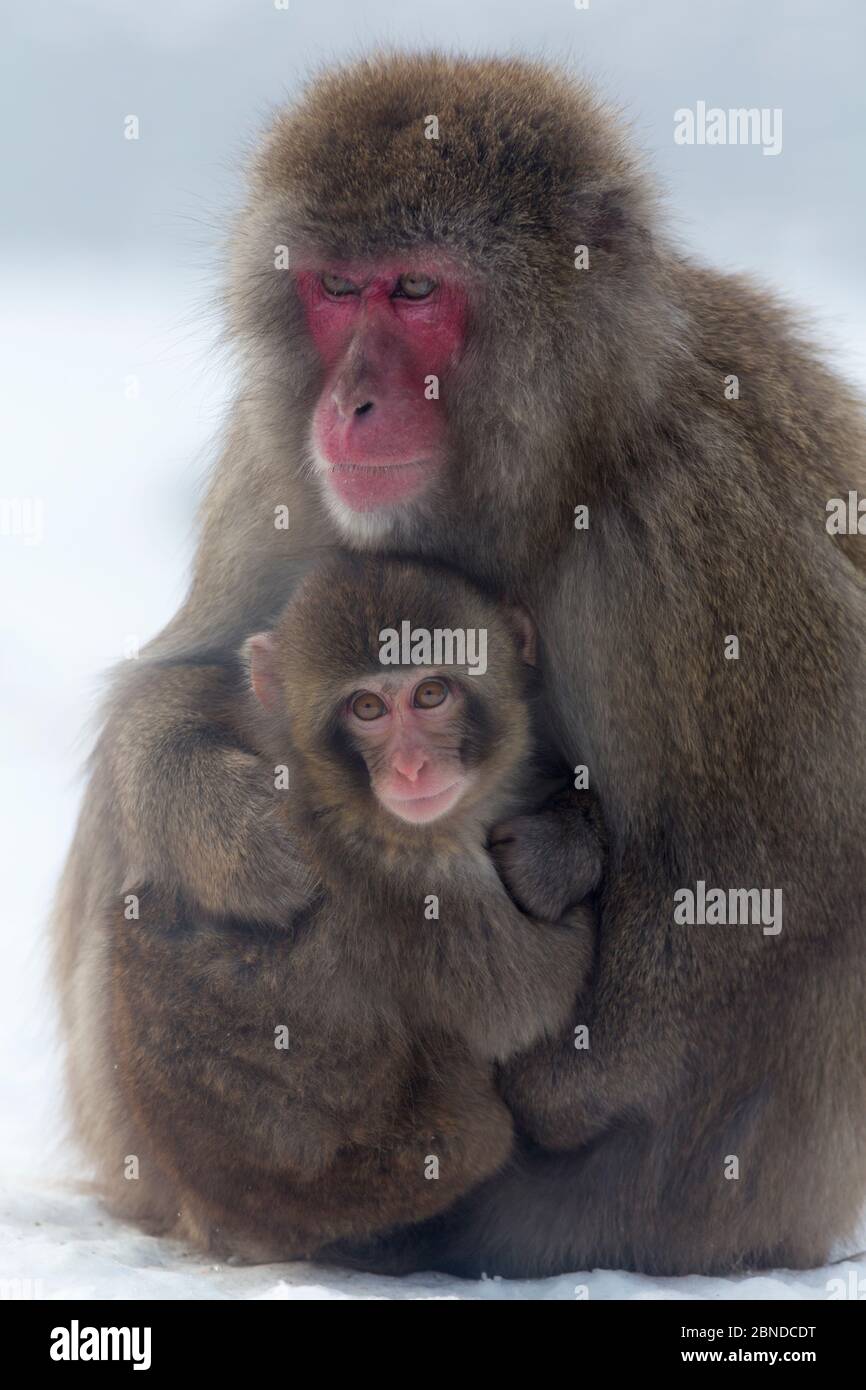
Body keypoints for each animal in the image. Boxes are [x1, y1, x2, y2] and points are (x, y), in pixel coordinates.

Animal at [98, 553, 599, 1260]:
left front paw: (562, 840)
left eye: (431, 693)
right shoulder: (424, 885)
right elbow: (529, 1001)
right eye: (367, 707)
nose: (413, 768)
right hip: (398, 1164)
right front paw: (573, 881)